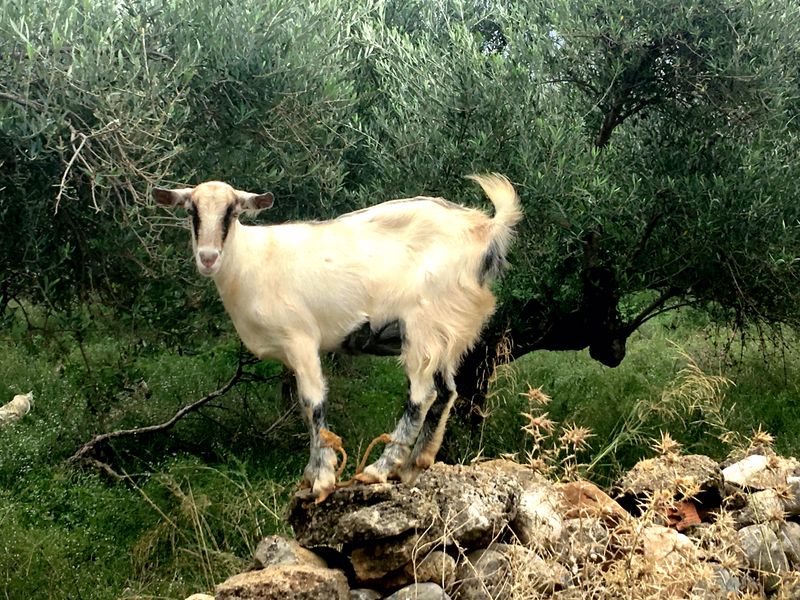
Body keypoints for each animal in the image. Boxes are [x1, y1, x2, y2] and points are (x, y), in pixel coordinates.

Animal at [154, 175, 522, 502]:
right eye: (191, 210)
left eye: (232, 211)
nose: (208, 257)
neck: (252, 260)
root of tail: (485, 229)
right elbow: (305, 410)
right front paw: (310, 475)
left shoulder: (300, 339)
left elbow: (312, 404)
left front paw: (322, 479)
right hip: (445, 333)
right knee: (446, 393)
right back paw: (411, 467)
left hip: (423, 327)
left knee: (423, 396)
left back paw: (379, 469)